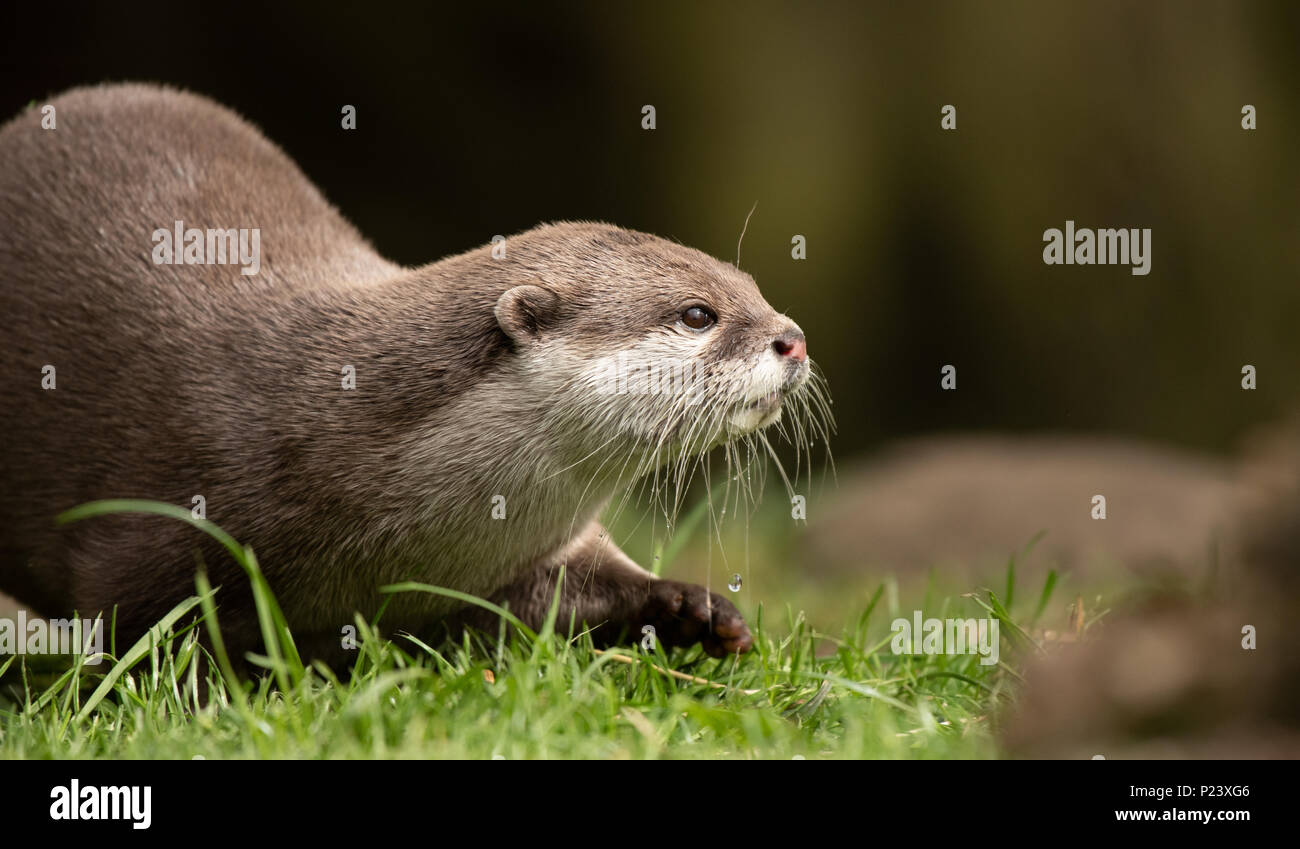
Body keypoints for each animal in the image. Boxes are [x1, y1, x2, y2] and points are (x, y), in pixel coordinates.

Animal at [0, 84, 828, 664]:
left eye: (751, 285)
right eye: (697, 313)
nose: (793, 338)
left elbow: (585, 583)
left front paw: (694, 607)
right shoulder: (155, 522)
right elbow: (139, 634)